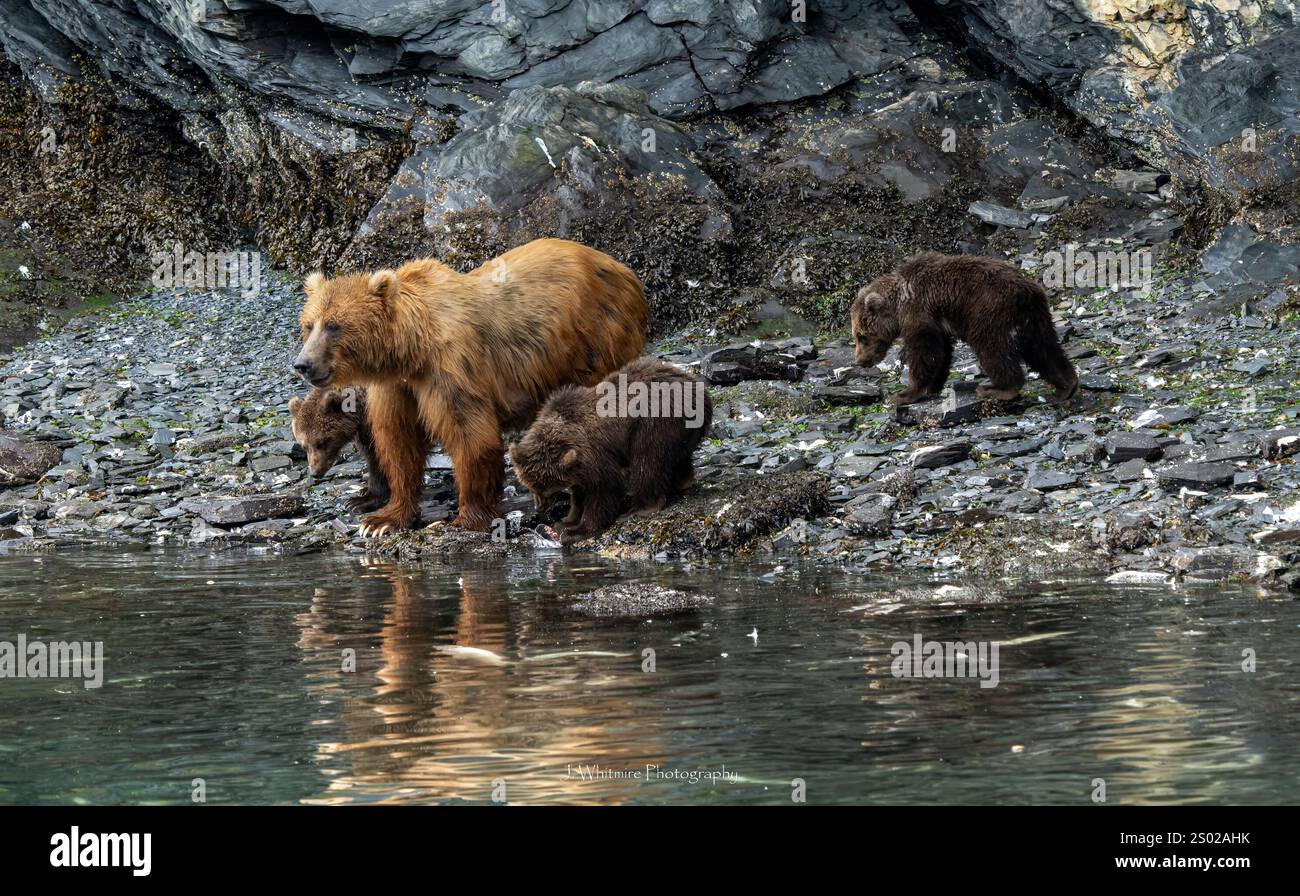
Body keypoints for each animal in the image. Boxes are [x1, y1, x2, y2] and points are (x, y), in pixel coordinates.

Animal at [293, 238, 648, 535]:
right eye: (309, 325)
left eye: (334, 325)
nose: (302, 364)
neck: (411, 350)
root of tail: (623, 269)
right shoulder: (398, 387)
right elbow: (398, 443)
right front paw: (383, 519)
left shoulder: (451, 367)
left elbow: (470, 435)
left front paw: (465, 518)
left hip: (597, 339)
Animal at [509, 357, 713, 545]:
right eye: (533, 486)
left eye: (545, 486)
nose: (540, 507)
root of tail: (702, 394)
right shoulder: (578, 465)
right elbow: (579, 492)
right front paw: (567, 520)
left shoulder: (594, 454)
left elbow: (602, 489)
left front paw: (577, 530)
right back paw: (683, 481)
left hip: (654, 421)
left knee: (647, 462)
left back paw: (638, 509)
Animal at [851, 251, 1079, 406]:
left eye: (862, 336)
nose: (860, 361)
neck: (899, 305)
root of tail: (1025, 291)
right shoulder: (937, 322)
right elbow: (941, 354)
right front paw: (932, 386)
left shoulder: (920, 314)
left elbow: (924, 352)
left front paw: (903, 394)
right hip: (1035, 317)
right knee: (1044, 348)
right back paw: (1065, 387)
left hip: (988, 312)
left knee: (992, 348)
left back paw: (996, 389)